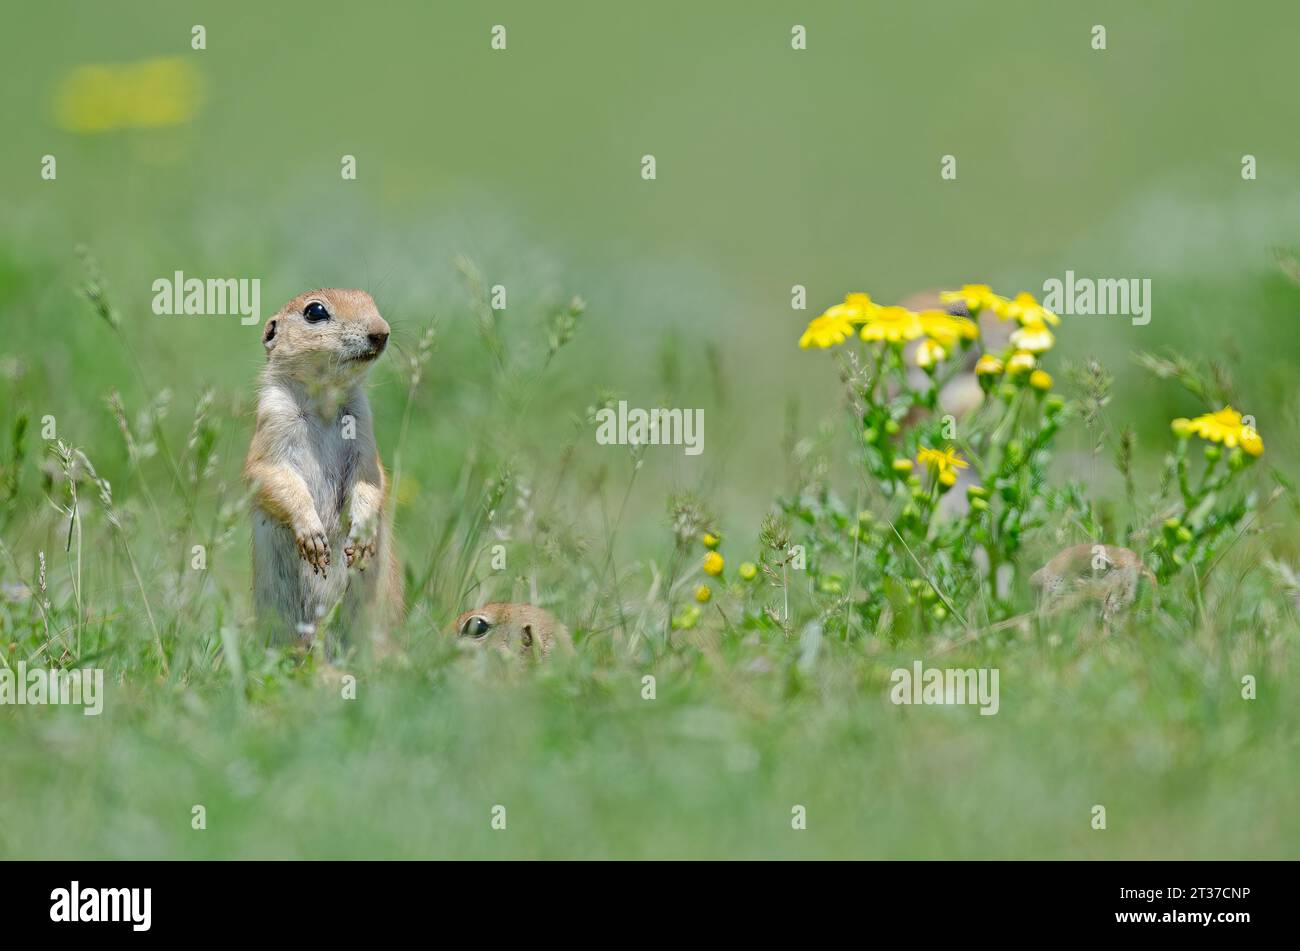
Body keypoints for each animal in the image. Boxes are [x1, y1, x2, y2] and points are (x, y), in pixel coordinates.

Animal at [244, 289, 402, 653]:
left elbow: (371, 480)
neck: (324, 402)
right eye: (315, 311)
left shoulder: (363, 430)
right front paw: (313, 536)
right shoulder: (272, 421)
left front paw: (361, 536)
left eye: (370, 301)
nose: (382, 332)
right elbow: (268, 475)